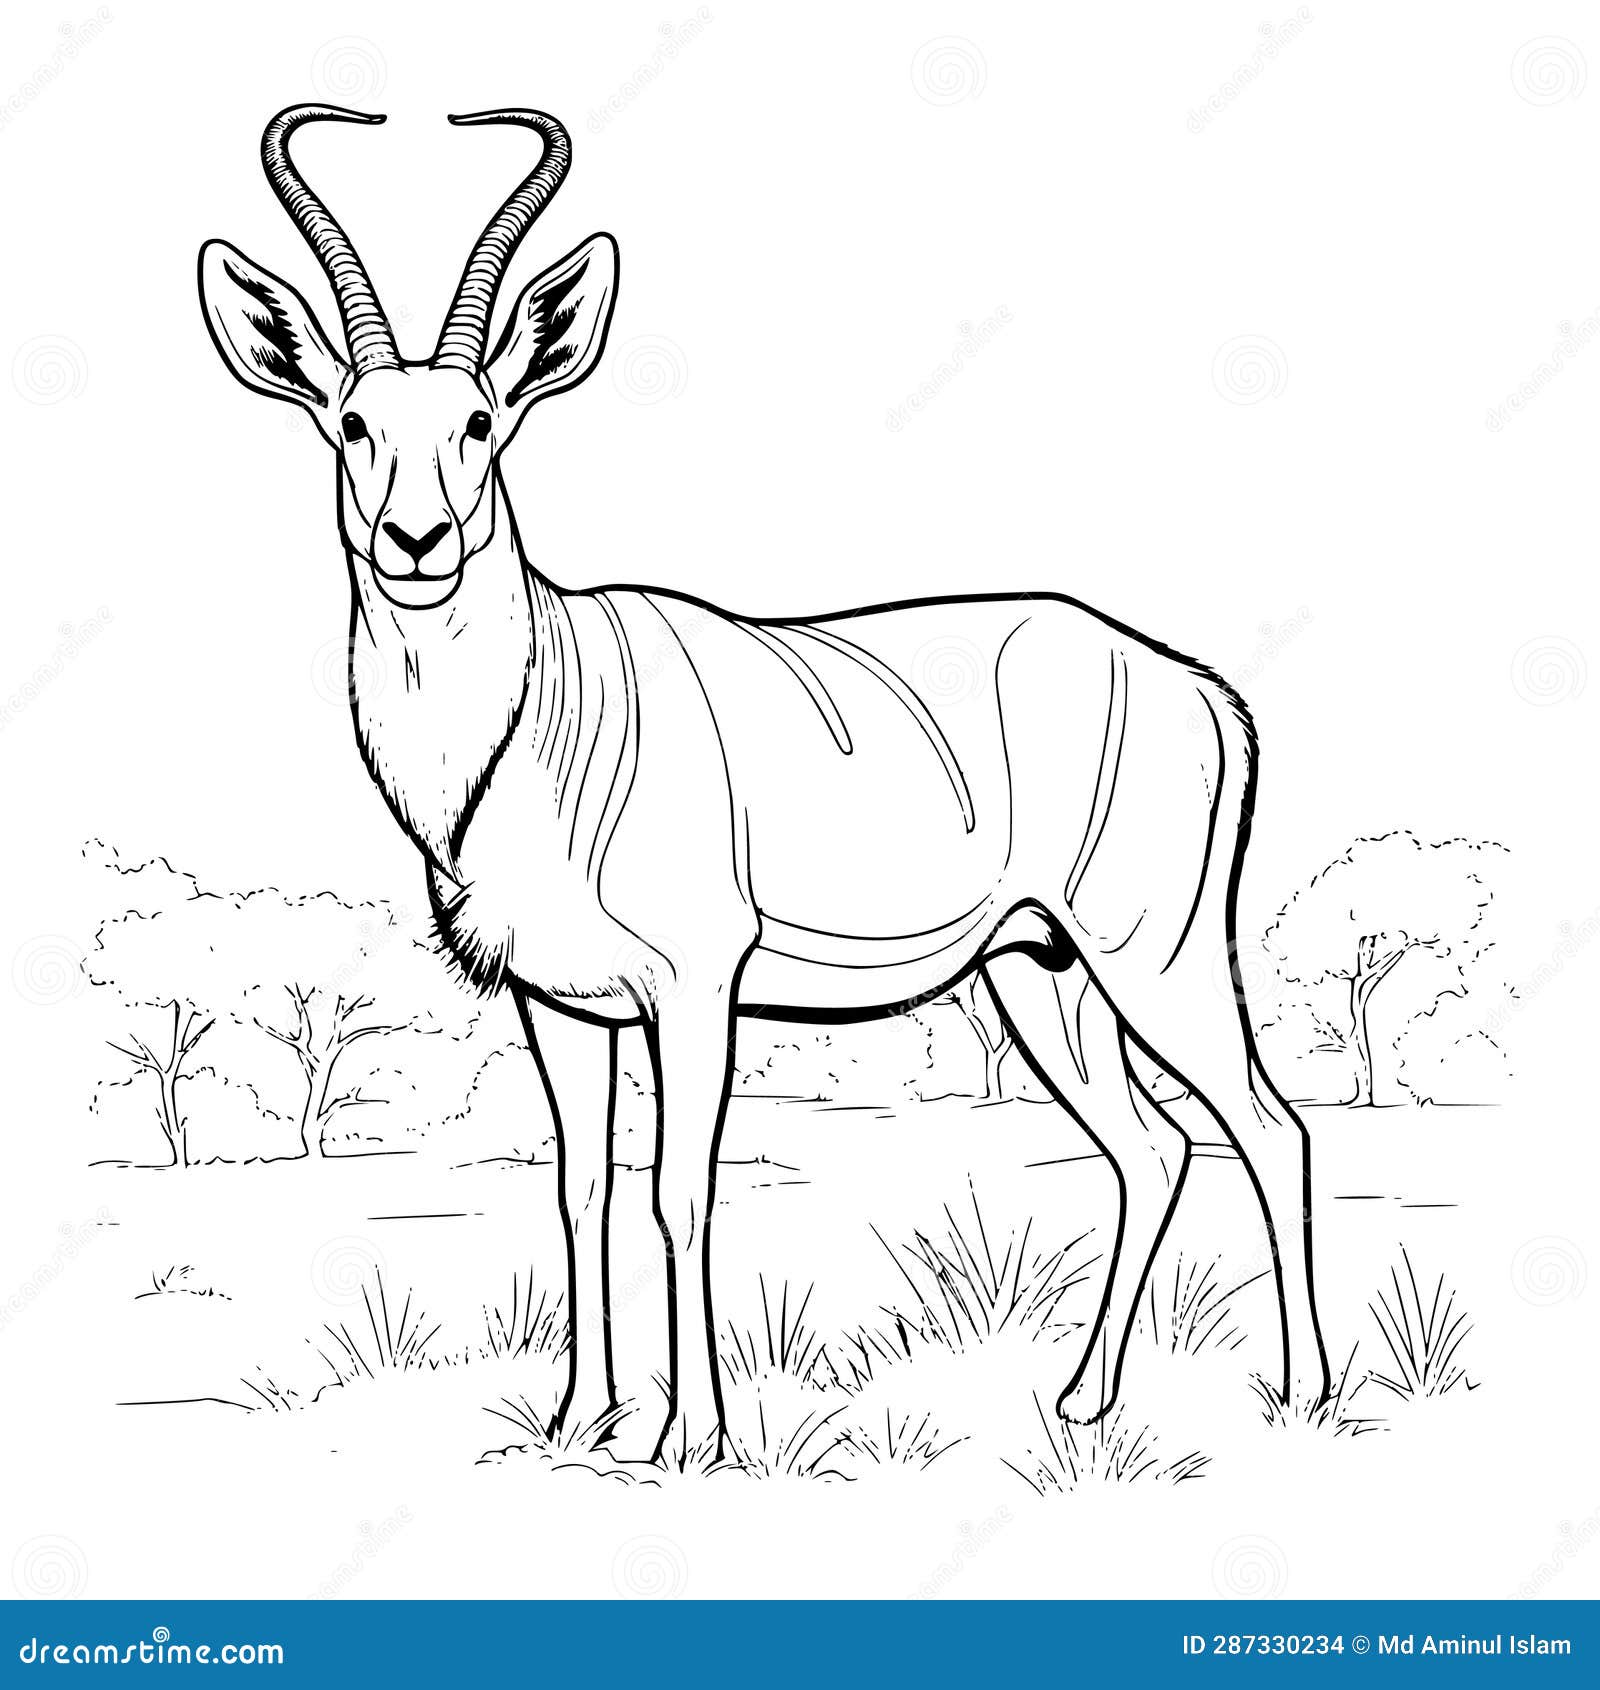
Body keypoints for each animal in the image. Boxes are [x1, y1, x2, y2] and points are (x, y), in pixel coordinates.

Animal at [199, 103, 1332, 1464]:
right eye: (355, 424)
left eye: (479, 422)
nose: (416, 544)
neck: (544, 720)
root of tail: (1203, 691)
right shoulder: (562, 1005)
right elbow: (583, 1187)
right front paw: (578, 1422)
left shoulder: (696, 988)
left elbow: (680, 1192)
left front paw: (691, 1440)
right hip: (1040, 974)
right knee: (1149, 1148)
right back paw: (1081, 1400)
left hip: (1153, 955)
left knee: (1269, 1126)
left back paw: (1307, 1395)